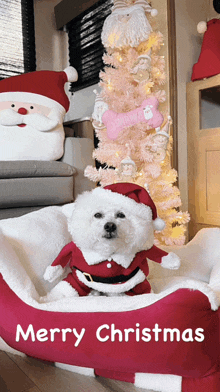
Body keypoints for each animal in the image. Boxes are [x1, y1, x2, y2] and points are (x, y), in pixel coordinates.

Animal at [42, 182, 180, 302]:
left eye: (121, 215)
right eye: (97, 215)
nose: (110, 226)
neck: (109, 251)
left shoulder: (142, 251)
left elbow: (156, 254)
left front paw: (173, 261)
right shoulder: (75, 248)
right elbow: (63, 254)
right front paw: (50, 273)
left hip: (137, 286)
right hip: (77, 281)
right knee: (68, 287)